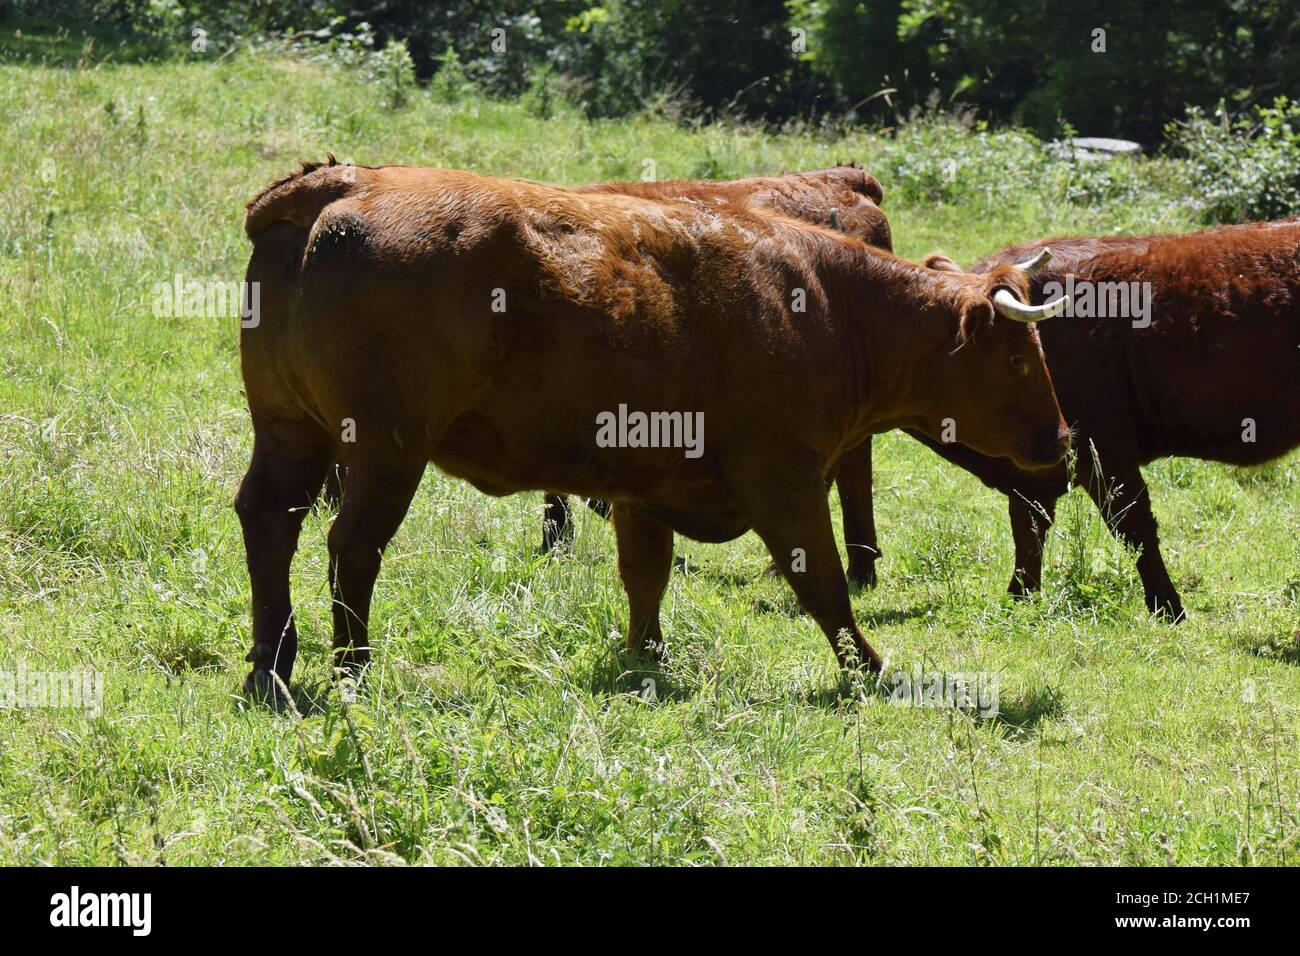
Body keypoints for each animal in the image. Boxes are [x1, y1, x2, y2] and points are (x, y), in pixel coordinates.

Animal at [848, 222, 1300, 620]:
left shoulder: (1103, 452)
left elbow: (1134, 527)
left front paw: (1168, 609)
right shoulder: (1033, 469)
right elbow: (1028, 529)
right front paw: (1020, 597)